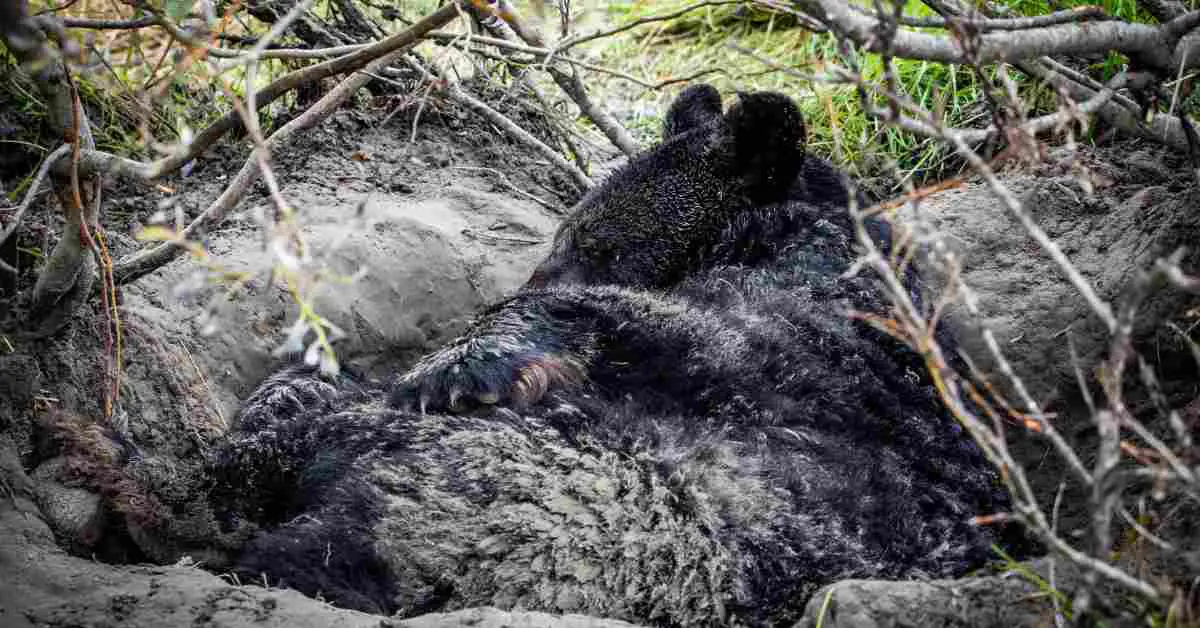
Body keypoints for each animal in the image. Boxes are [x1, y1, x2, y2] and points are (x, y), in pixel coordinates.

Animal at [200, 86, 1024, 626]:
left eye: (595, 240)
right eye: (569, 226)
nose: (536, 272)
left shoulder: (803, 339)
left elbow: (673, 329)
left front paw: (453, 366)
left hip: (552, 507)